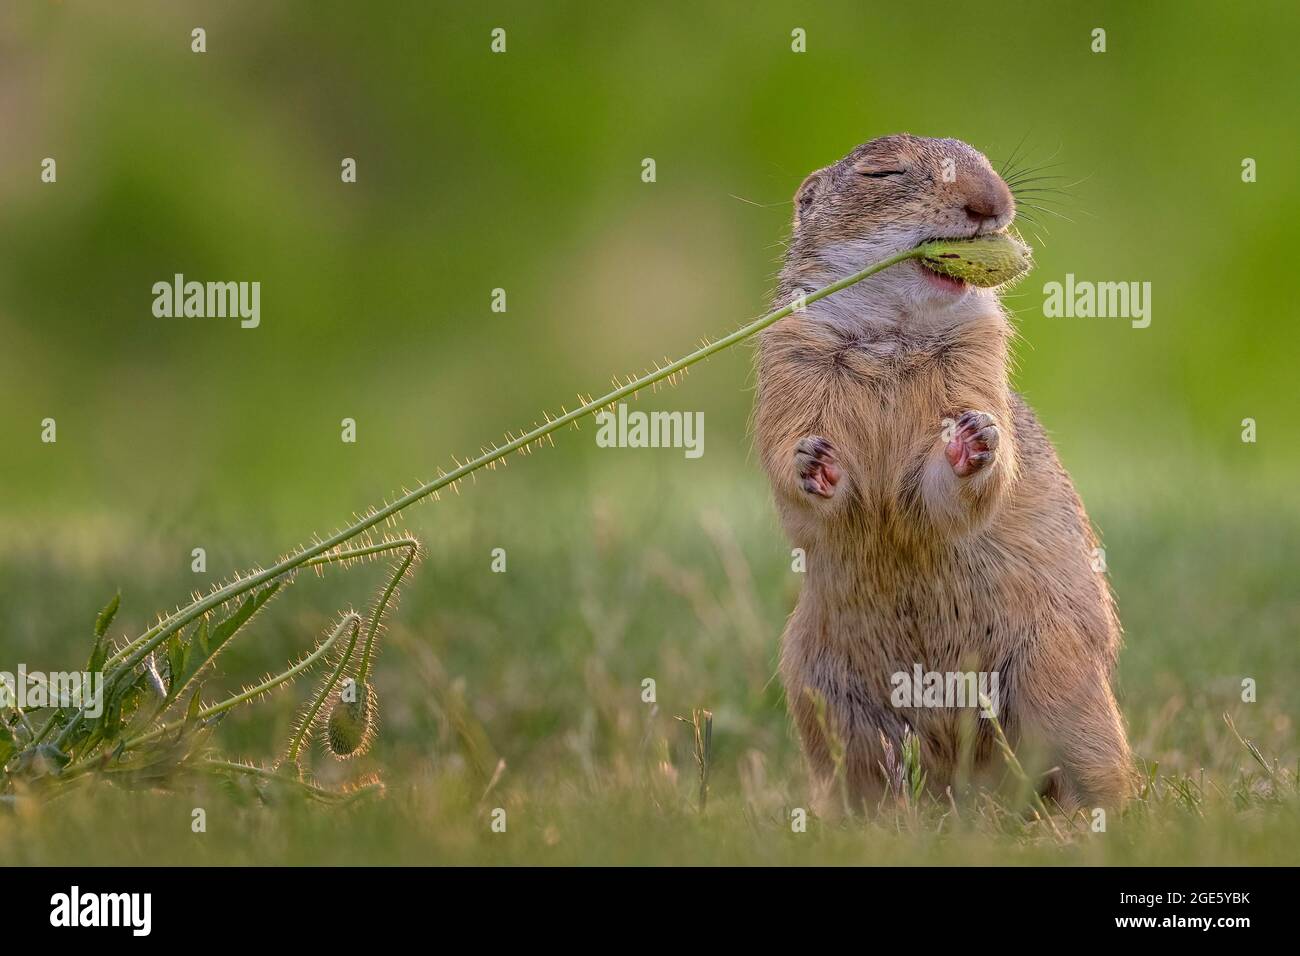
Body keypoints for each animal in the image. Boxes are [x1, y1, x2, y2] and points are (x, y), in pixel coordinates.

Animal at [754, 134, 1134, 812]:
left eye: (983, 158)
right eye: (882, 173)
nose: (992, 202)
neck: (892, 337)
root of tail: (967, 780)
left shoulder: (977, 356)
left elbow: (952, 494)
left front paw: (975, 441)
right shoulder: (788, 360)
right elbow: (792, 475)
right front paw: (813, 464)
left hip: (1064, 685)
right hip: (822, 693)